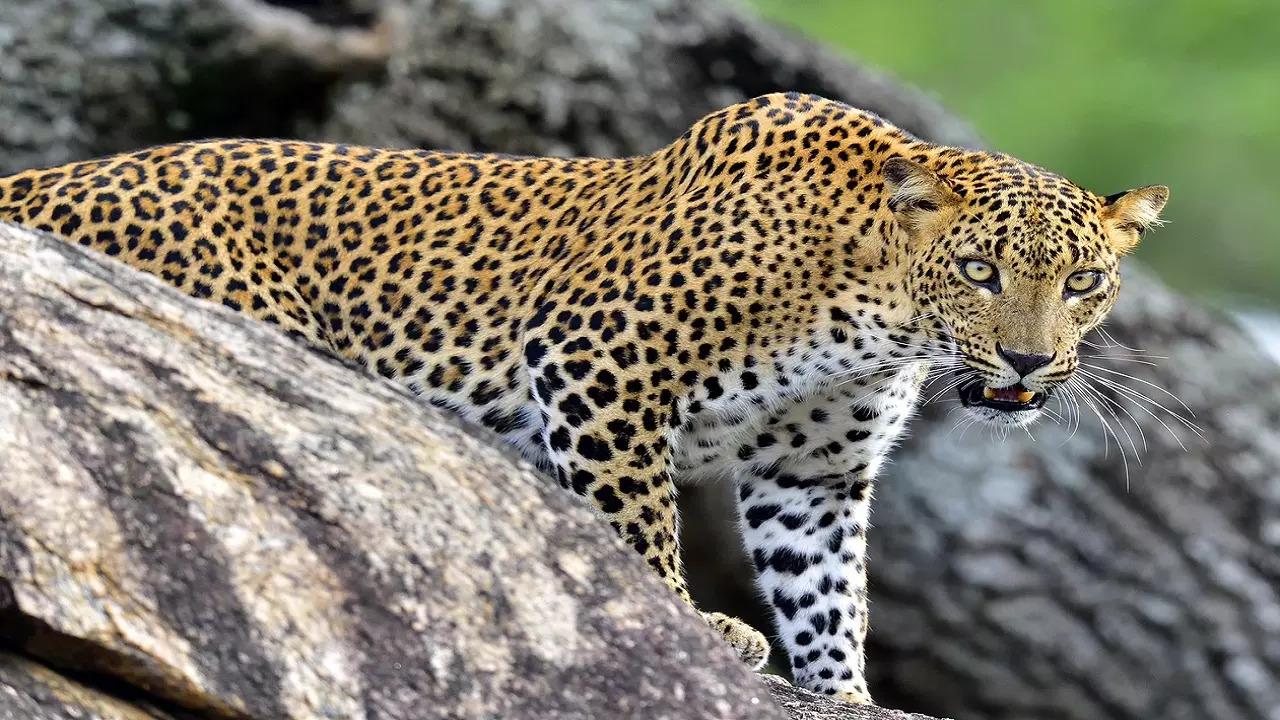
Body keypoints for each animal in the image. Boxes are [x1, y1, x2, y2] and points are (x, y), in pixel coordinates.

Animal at [0, 92, 1167, 704]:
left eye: (1083, 282)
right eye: (978, 271)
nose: (1026, 363)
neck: (875, 314)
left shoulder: (813, 472)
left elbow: (830, 592)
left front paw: (842, 697)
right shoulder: (601, 364)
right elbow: (635, 526)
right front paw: (697, 628)